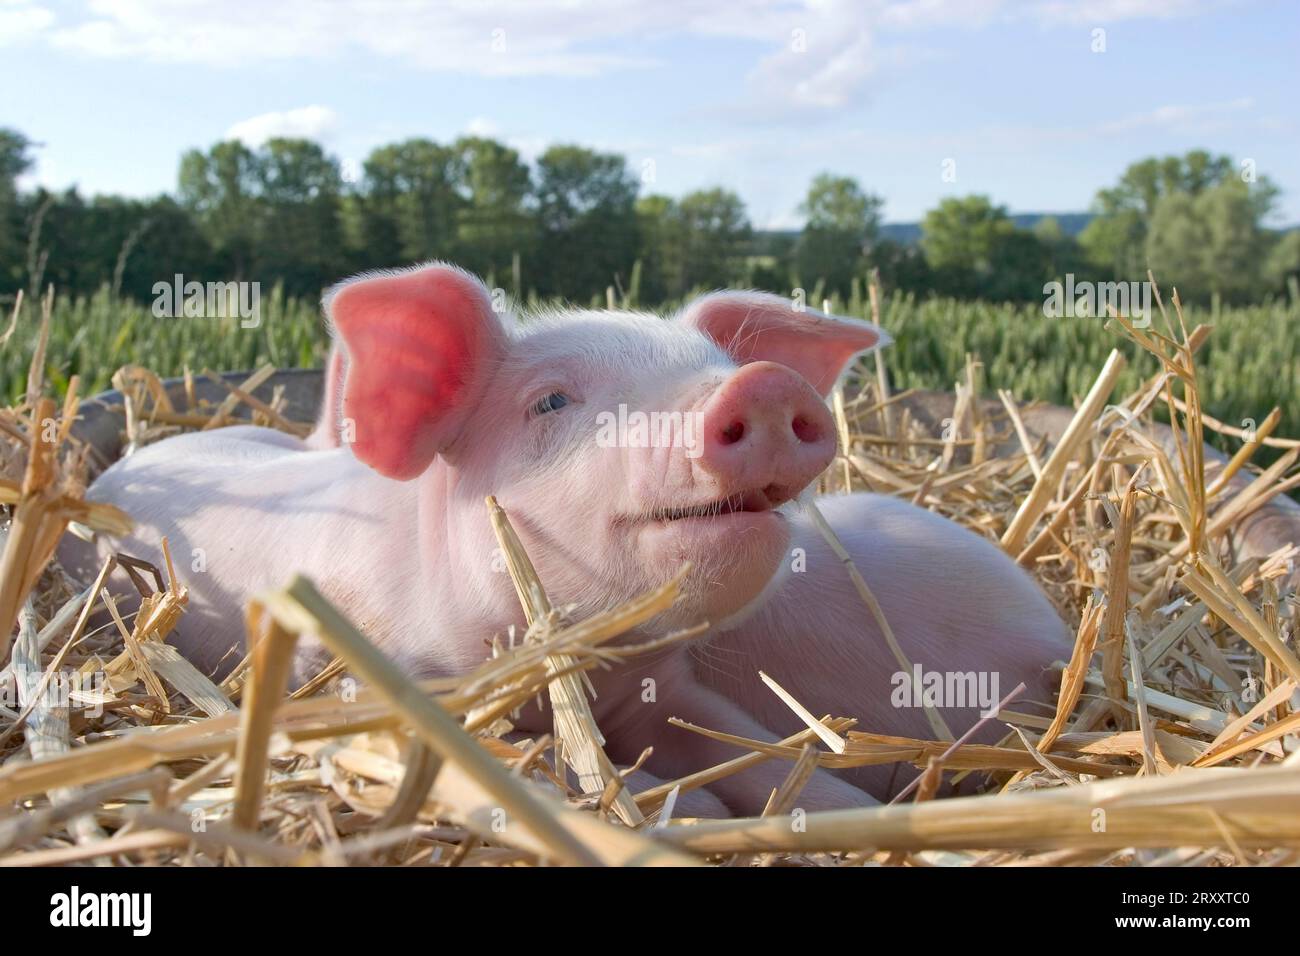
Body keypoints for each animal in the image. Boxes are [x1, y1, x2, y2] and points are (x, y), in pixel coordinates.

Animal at [63, 262, 1070, 817]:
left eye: (718, 364)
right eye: (549, 401)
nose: (762, 384)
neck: (574, 676)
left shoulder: (669, 692)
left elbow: (772, 759)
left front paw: (841, 809)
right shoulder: (383, 682)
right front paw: (688, 810)